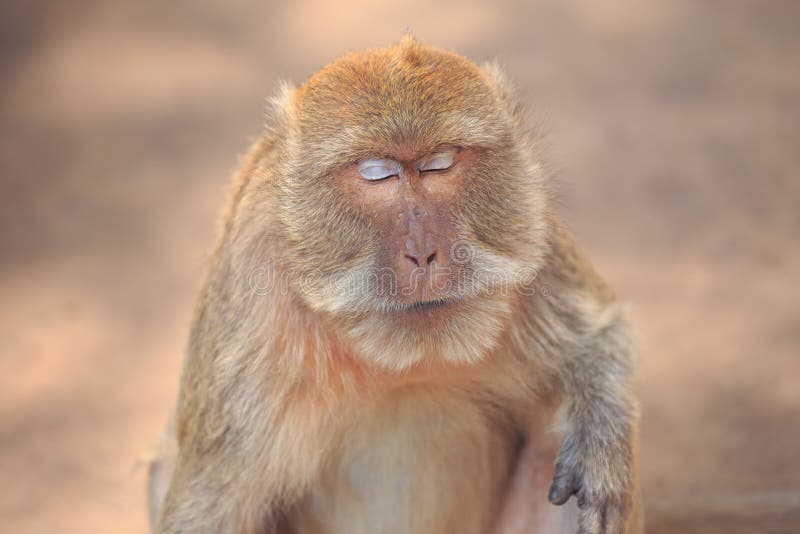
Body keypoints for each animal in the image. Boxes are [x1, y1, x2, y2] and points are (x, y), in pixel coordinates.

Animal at [147, 37, 644, 534]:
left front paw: (599, 444)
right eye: (377, 173)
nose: (422, 252)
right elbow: (208, 509)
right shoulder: (251, 297)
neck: (401, 362)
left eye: (439, 164)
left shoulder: (529, 231)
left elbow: (596, 337)